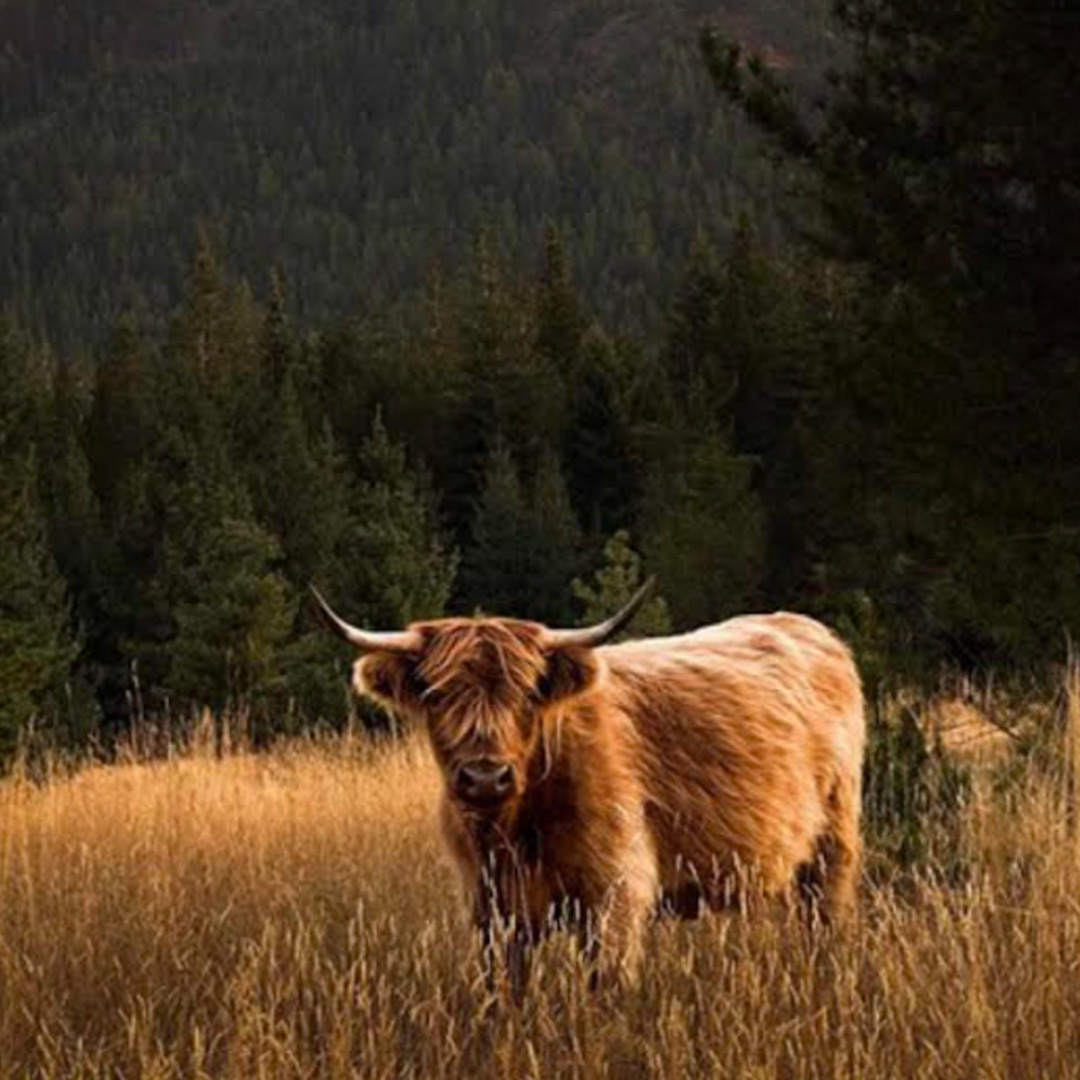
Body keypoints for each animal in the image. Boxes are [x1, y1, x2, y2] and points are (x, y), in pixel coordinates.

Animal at [312, 582, 865, 992]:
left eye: (527, 693)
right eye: (436, 693)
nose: (485, 776)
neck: (513, 829)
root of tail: (809, 628)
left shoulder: (614, 895)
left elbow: (604, 988)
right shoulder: (493, 909)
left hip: (831, 849)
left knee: (824, 924)